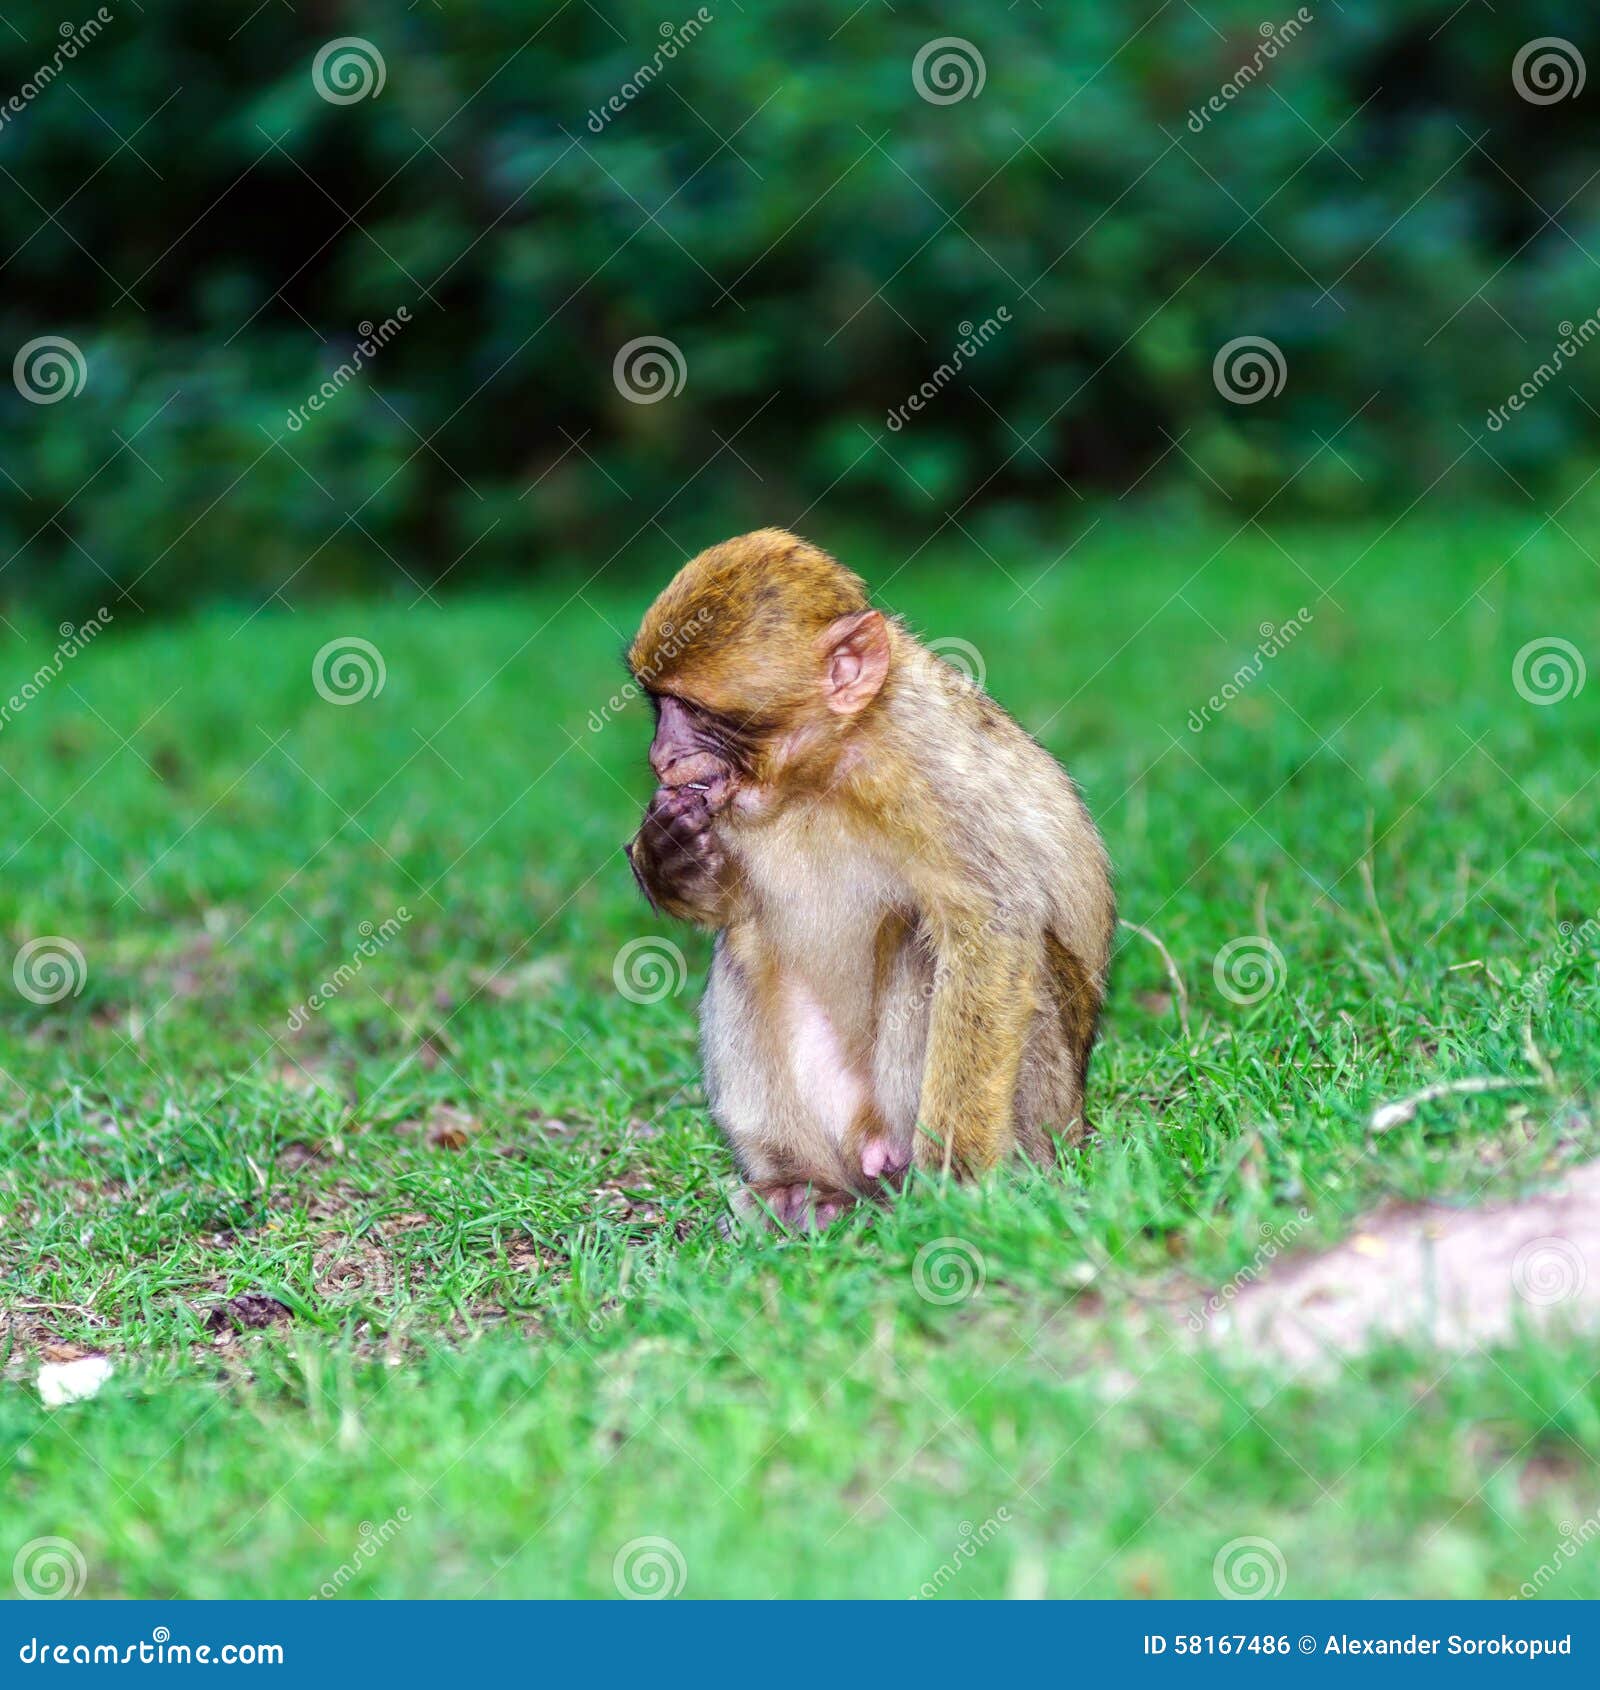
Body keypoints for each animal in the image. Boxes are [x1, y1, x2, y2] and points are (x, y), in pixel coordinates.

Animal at [625, 529, 1114, 1229]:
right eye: (658, 704)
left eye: (692, 709)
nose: (660, 757)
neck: (819, 771)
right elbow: (733, 907)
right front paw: (669, 858)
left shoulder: (925, 776)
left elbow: (991, 926)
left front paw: (958, 1178)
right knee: (747, 945)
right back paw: (801, 1185)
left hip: (1044, 1113)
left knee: (920, 942)